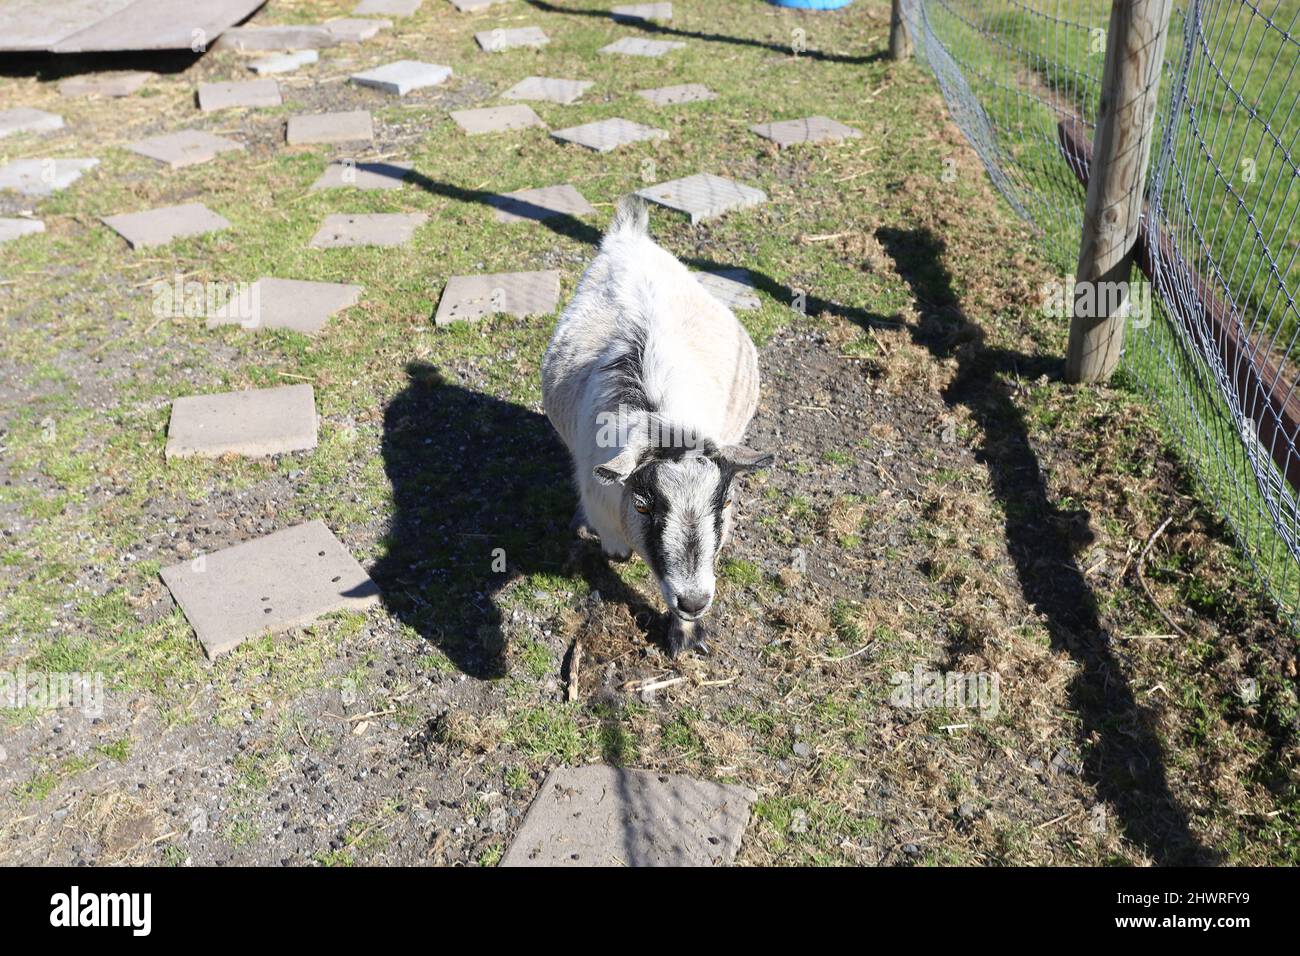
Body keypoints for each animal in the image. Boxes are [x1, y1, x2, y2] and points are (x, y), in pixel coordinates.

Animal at [541, 196, 772, 656]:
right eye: (644, 504)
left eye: (725, 502)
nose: (694, 600)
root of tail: (629, 236)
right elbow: (616, 551)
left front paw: (685, 634)